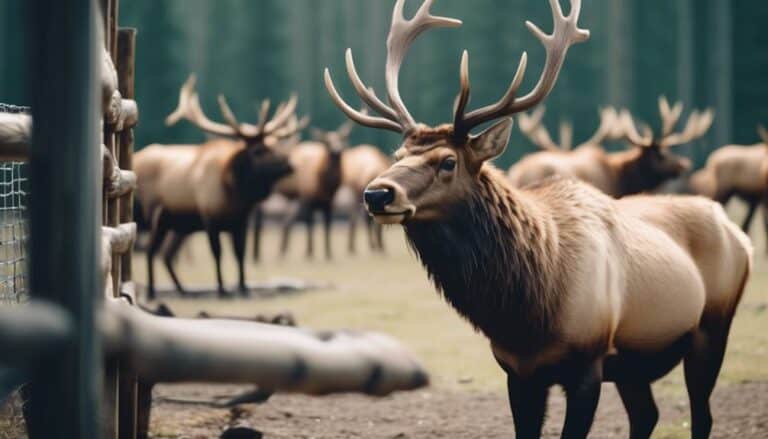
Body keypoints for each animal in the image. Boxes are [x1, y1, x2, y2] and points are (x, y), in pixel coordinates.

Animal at [135, 75, 306, 300]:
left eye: (272, 145)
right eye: (259, 150)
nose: (290, 164)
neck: (234, 191)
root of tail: (136, 158)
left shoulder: (240, 221)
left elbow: (240, 253)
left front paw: (243, 288)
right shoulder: (210, 217)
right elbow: (217, 253)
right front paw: (222, 289)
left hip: (178, 225)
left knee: (165, 254)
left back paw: (182, 290)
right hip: (155, 218)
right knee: (150, 250)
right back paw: (152, 291)